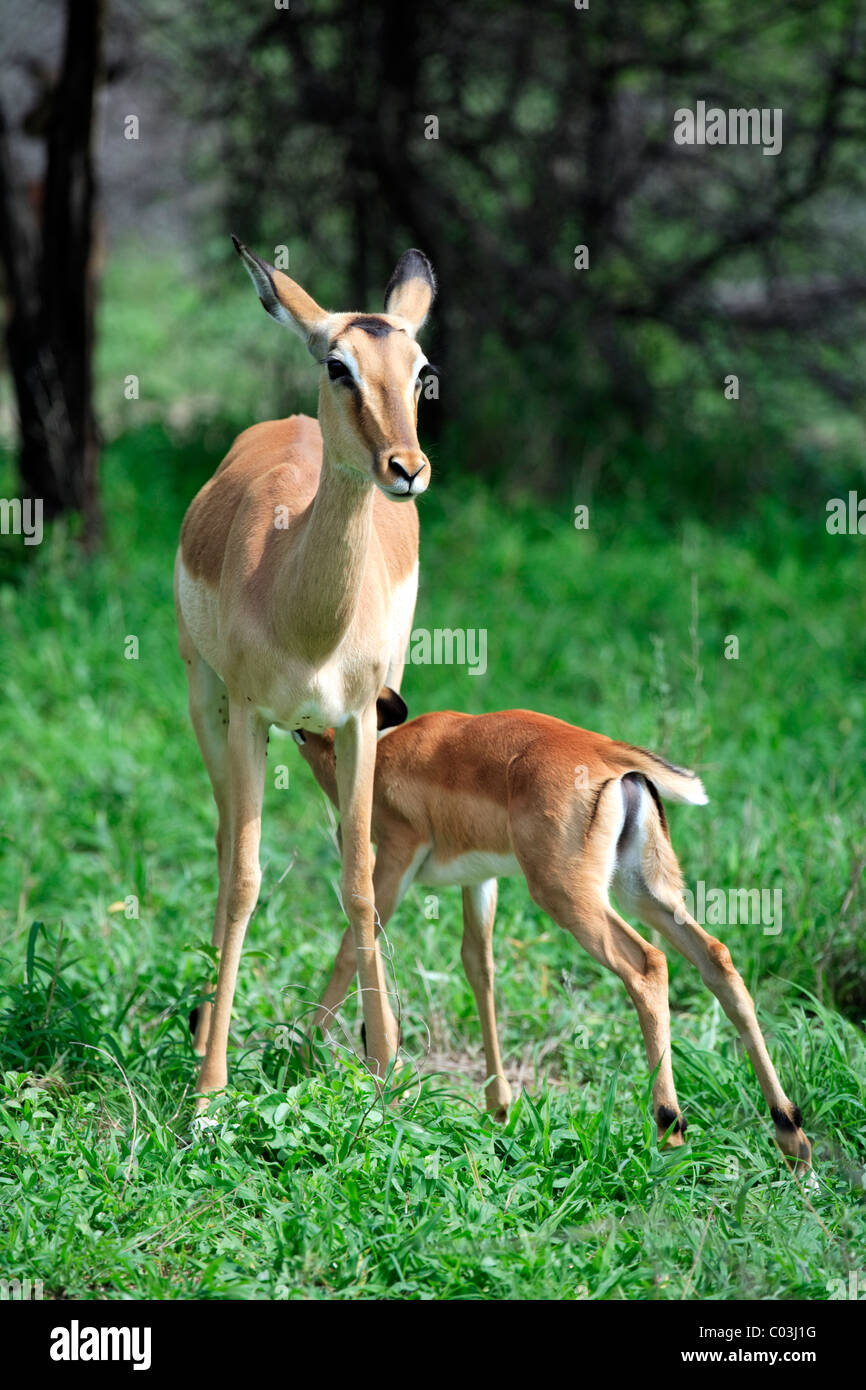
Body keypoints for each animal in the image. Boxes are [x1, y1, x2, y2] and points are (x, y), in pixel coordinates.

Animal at [175, 240, 436, 1108]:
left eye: (420, 367)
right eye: (338, 365)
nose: (406, 467)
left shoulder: (358, 719)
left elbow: (358, 876)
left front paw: (385, 1066)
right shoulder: (251, 713)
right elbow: (247, 879)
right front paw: (208, 1096)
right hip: (209, 704)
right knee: (227, 846)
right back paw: (203, 1032)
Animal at [295, 707, 811, 1169]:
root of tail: (610, 758)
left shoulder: (395, 858)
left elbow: (352, 944)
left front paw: (306, 1056)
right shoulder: (479, 880)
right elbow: (478, 967)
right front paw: (498, 1107)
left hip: (568, 897)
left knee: (648, 964)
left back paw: (670, 1134)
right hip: (643, 891)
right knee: (716, 958)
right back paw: (792, 1139)